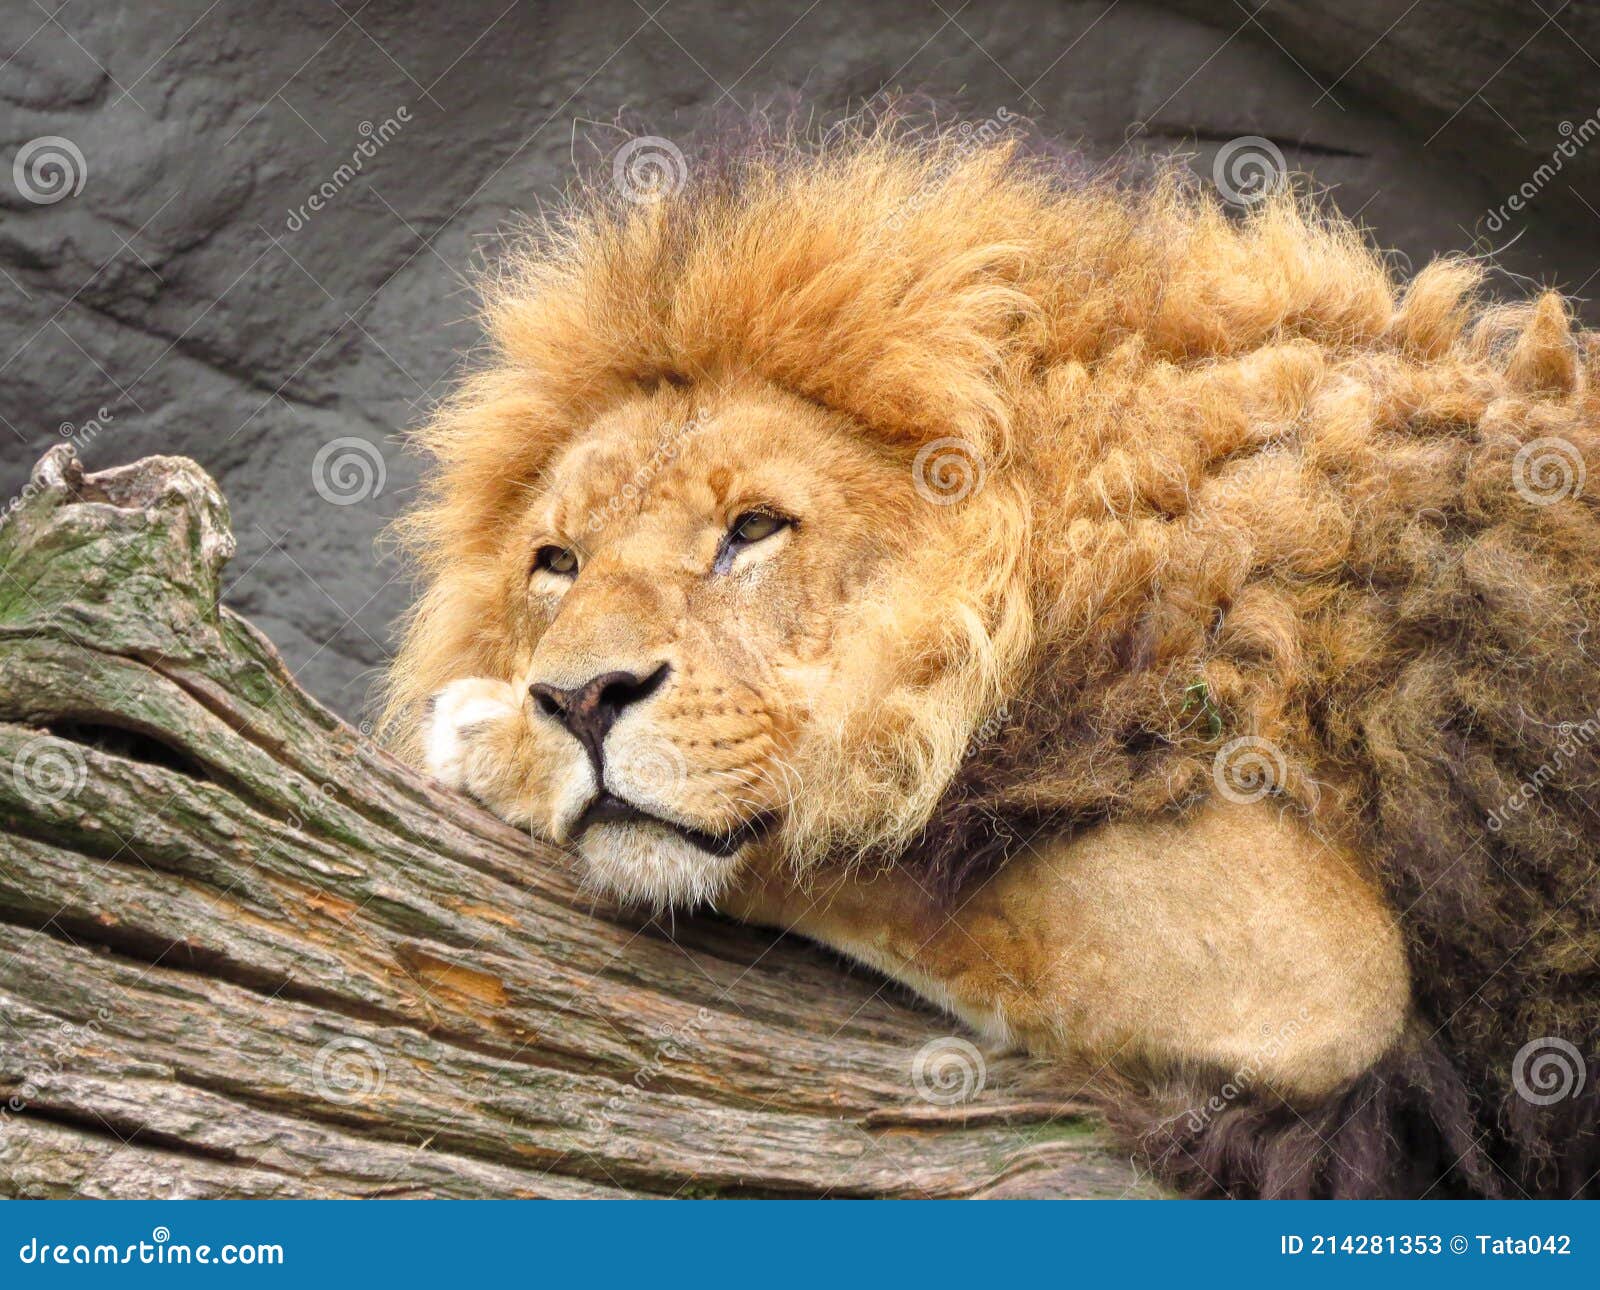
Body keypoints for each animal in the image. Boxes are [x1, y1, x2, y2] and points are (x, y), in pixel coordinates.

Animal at [385, 116, 1600, 1198]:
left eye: (753, 529)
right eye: (555, 560)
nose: (580, 698)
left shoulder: (1309, 963)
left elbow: (852, 855)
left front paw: (485, 735)